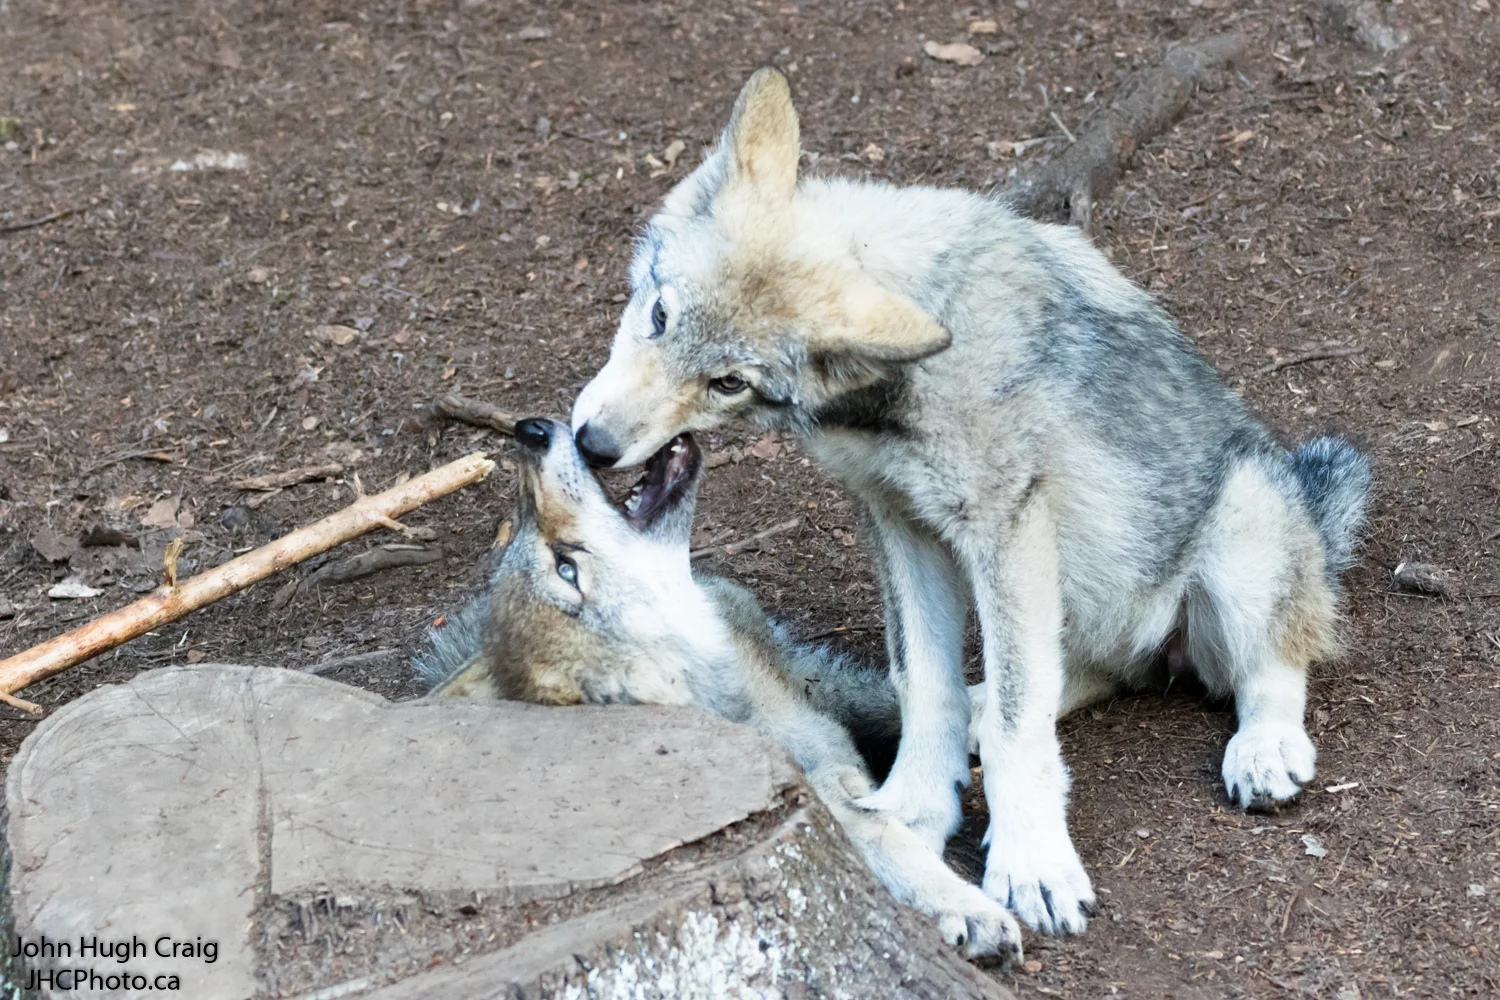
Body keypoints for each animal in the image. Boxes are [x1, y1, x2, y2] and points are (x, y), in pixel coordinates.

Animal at [567, 68, 1372, 936]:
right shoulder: (898, 520)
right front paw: (913, 812)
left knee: (1267, 666)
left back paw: (1264, 748)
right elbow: (924, 684)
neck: (896, 390)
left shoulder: (1003, 529)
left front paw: (1030, 865)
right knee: (1084, 676)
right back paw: (983, 712)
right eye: (658, 315)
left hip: (1243, 528)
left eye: (728, 382)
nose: (593, 445)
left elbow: (1022, 726)